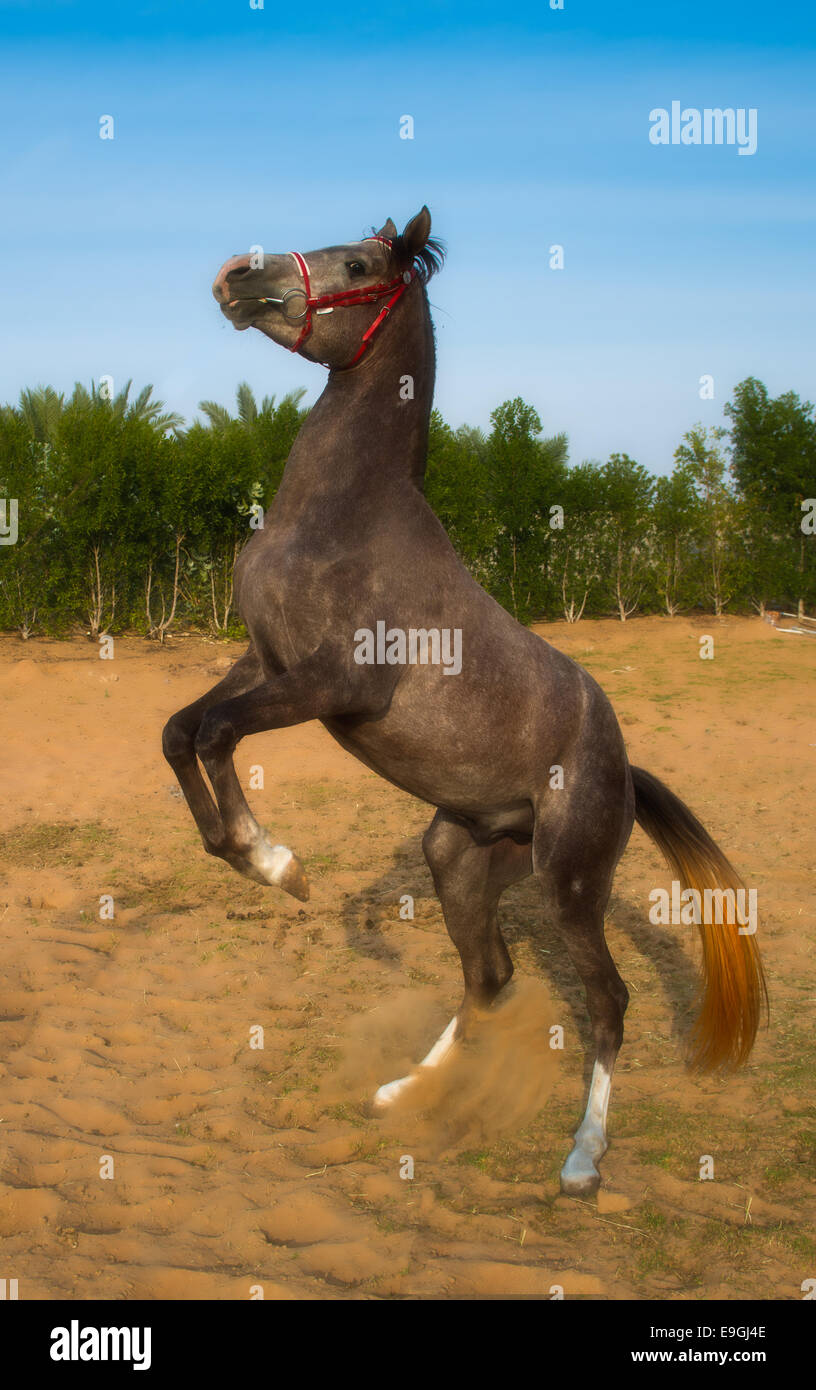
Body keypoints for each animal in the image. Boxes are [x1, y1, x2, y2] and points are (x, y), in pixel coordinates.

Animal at [162, 207, 767, 1196]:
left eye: (356, 264)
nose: (233, 276)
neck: (342, 516)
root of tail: (624, 769)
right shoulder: (264, 664)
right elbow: (181, 733)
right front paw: (252, 858)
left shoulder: (331, 684)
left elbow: (213, 734)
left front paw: (276, 863)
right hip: (459, 856)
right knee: (489, 975)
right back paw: (404, 1091)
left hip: (571, 884)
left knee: (605, 1001)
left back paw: (581, 1158)